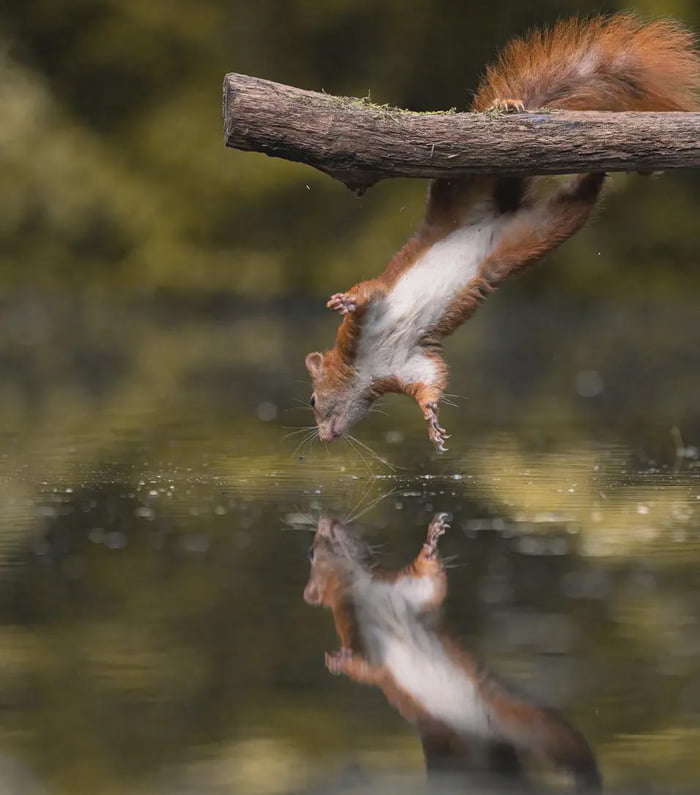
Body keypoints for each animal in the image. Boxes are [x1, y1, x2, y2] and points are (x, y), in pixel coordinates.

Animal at [304, 14, 700, 450]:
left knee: (470, 172)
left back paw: (507, 107)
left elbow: (367, 294)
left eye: (312, 399)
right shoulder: (409, 363)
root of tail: (496, 209)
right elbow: (429, 383)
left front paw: (344, 301)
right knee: (579, 198)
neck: (367, 367)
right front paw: (431, 419)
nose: (325, 437)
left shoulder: (376, 311)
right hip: (538, 230)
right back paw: (596, 168)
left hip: (463, 183)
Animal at [304, 513, 602, 792]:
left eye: (351, 528)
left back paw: (585, 777)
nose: (328, 519)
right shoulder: (351, 625)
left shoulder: (404, 586)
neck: (363, 586)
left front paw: (432, 539)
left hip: (528, 719)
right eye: (312, 551)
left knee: (566, 745)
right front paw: (339, 660)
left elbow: (430, 579)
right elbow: (365, 665)